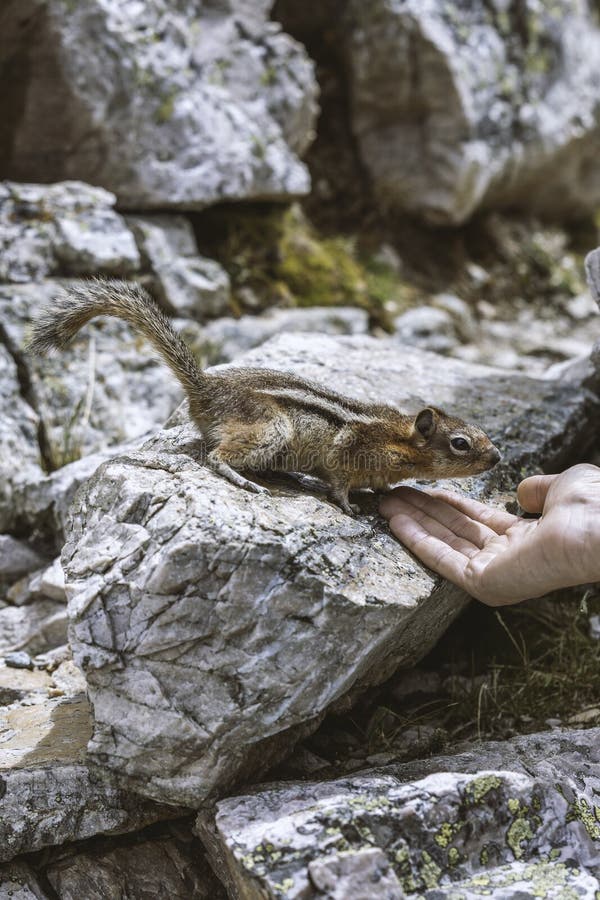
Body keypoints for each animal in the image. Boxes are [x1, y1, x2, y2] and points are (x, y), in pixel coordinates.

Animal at [27, 280, 501, 515]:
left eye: (482, 433)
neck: (399, 439)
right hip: (271, 427)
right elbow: (339, 482)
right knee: (215, 457)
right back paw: (246, 480)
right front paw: (352, 506)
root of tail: (204, 388)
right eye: (461, 444)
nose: (497, 458)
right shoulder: (347, 452)